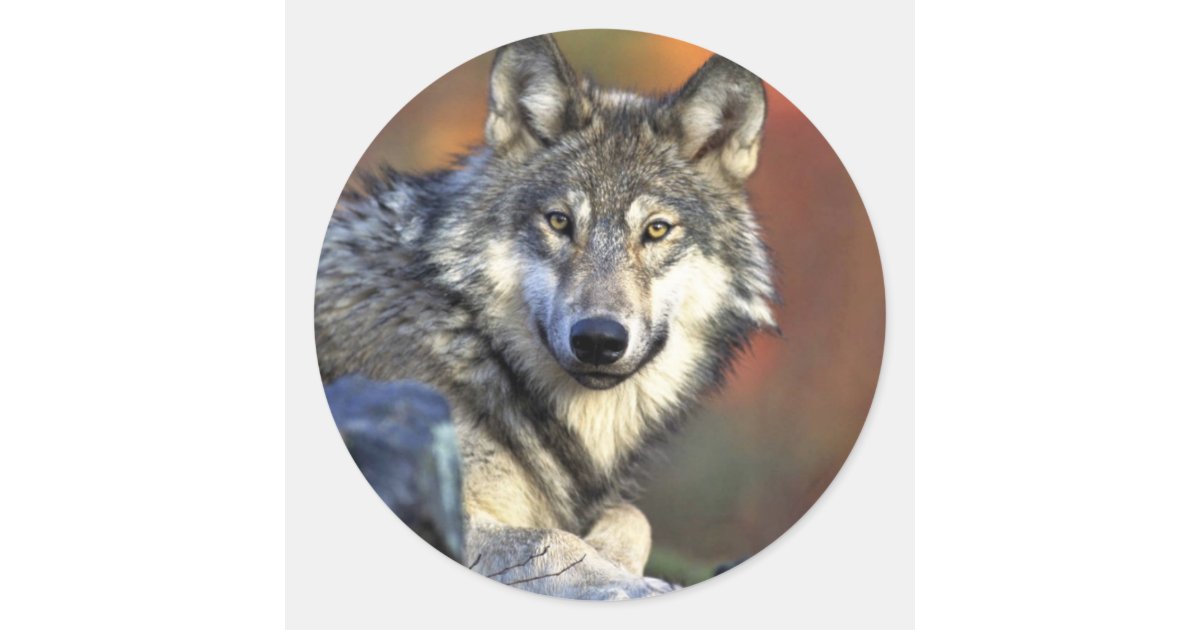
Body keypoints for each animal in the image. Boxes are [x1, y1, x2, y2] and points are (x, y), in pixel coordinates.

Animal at [315, 34, 777, 599]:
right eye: (559, 222)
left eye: (656, 230)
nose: (598, 339)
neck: (473, 342)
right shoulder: (446, 503)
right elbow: (553, 540)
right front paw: (628, 584)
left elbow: (633, 517)